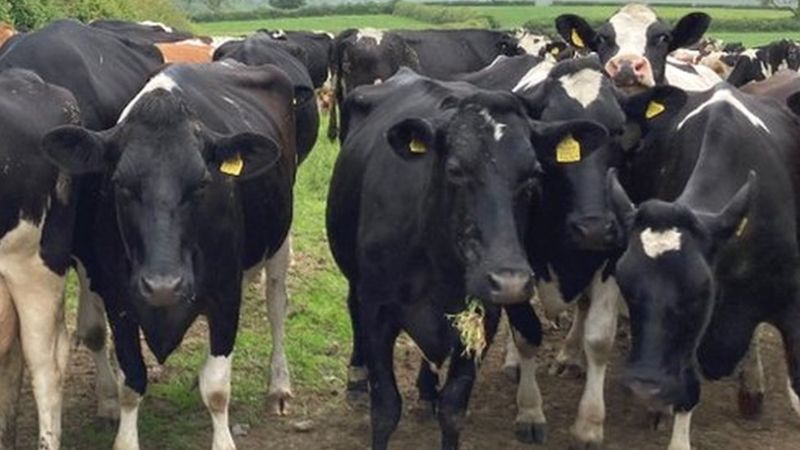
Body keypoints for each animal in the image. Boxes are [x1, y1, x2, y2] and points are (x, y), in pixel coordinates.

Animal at [41, 60, 296, 450]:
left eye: (203, 183)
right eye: (121, 184)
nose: (164, 285)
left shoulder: (225, 294)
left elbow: (217, 388)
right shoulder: (120, 301)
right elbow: (131, 381)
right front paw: (125, 439)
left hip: (279, 240)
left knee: (277, 305)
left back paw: (279, 385)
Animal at [327, 66, 609, 450]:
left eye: (534, 174)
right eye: (455, 169)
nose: (509, 281)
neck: (435, 258)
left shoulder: (481, 317)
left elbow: (453, 409)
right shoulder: (378, 308)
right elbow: (385, 407)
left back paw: (426, 392)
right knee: (353, 309)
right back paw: (357, 379)